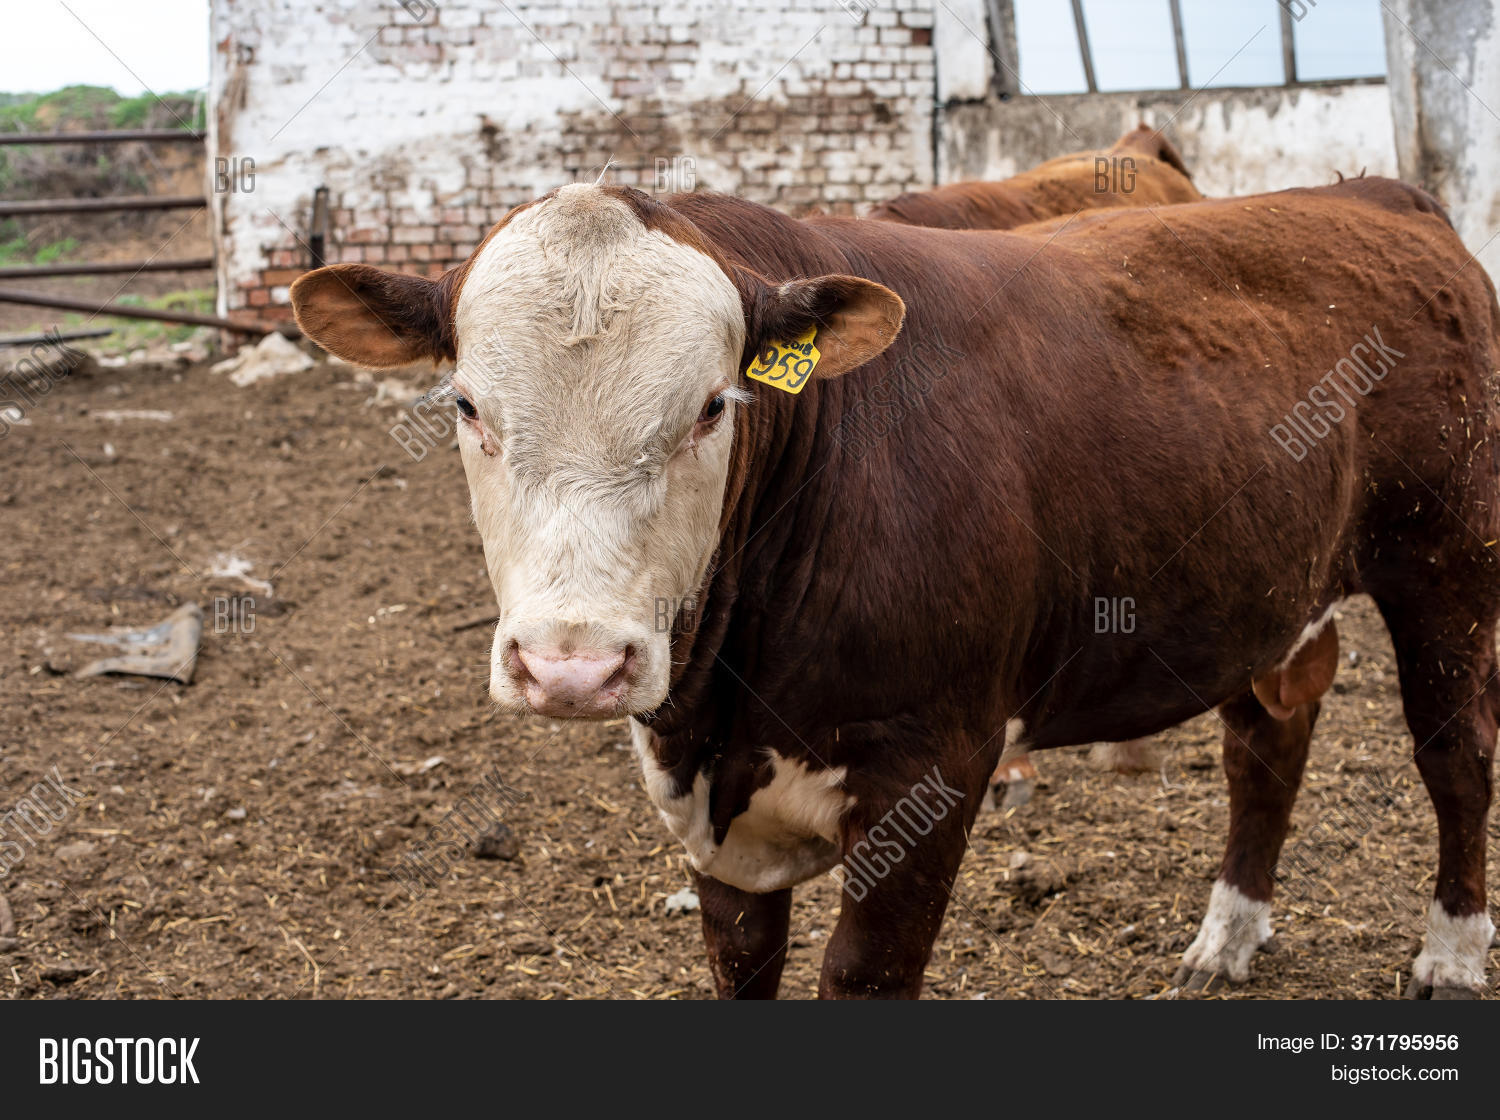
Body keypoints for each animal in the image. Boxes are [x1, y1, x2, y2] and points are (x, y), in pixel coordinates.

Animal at [291, 176, 1499, 1000]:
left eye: (713, 407)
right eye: (465, 405)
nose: (574, 666)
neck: (725, 699)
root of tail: (1372, 193)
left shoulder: (937, 758)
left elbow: (864, 972)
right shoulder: (709, 800)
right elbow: (742, 960)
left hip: (1447, 565)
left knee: (1456, 756)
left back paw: (1449, 953)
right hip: (1270, 591)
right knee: (1266, 744)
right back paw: (1228, 936)